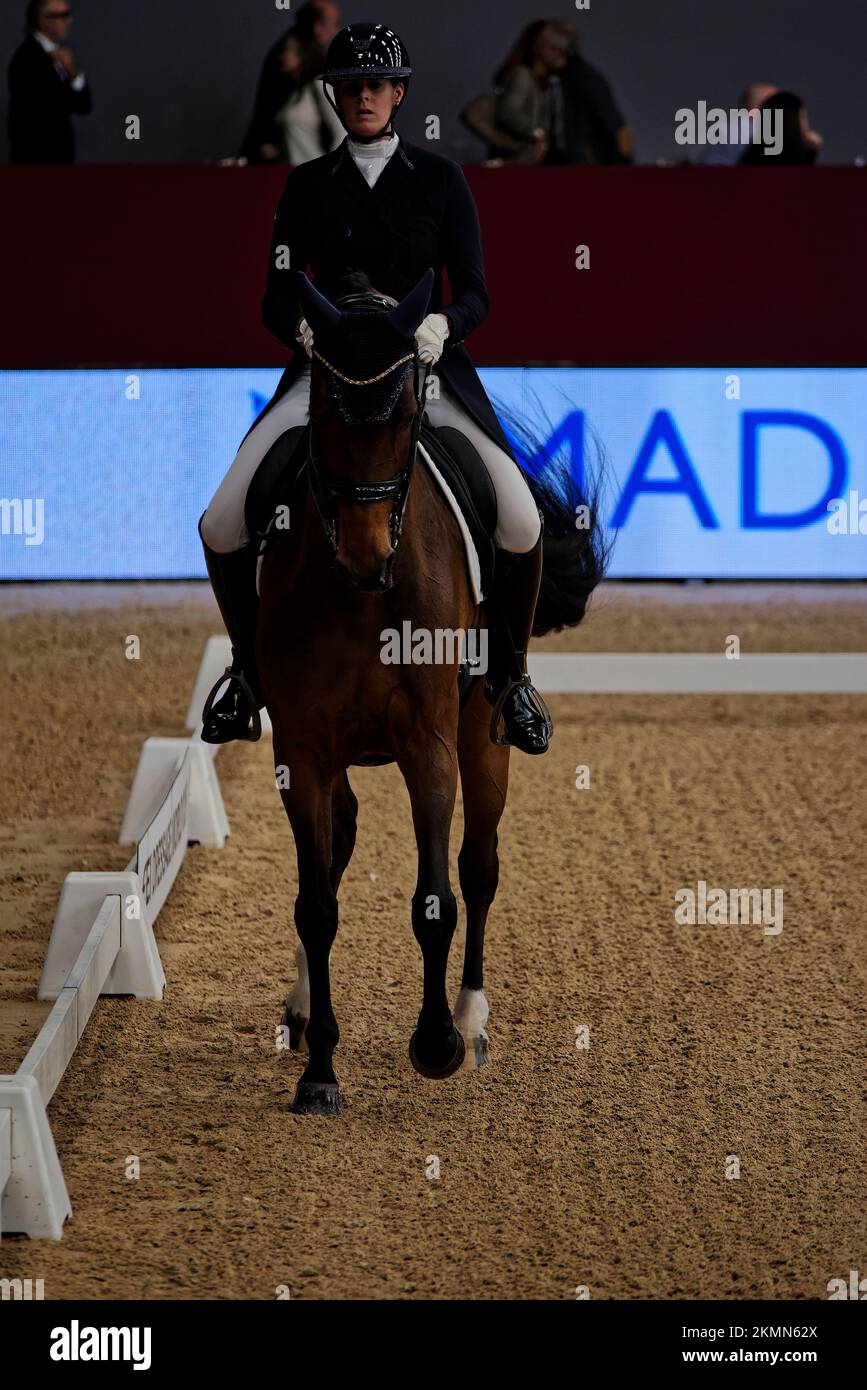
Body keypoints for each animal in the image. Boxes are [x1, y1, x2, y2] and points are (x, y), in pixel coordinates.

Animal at [256, 267, 604, 1114]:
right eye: (322, 411)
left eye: (408, 413)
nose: (365, 557)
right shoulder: (303, 751)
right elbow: (316, 905)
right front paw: (320, 1072)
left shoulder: (430, 743)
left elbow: (435, 898)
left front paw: (435, 1043)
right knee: (337, 849)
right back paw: (304, 1008)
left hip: (485, 733)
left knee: (479, 866)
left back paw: (471, 1017)